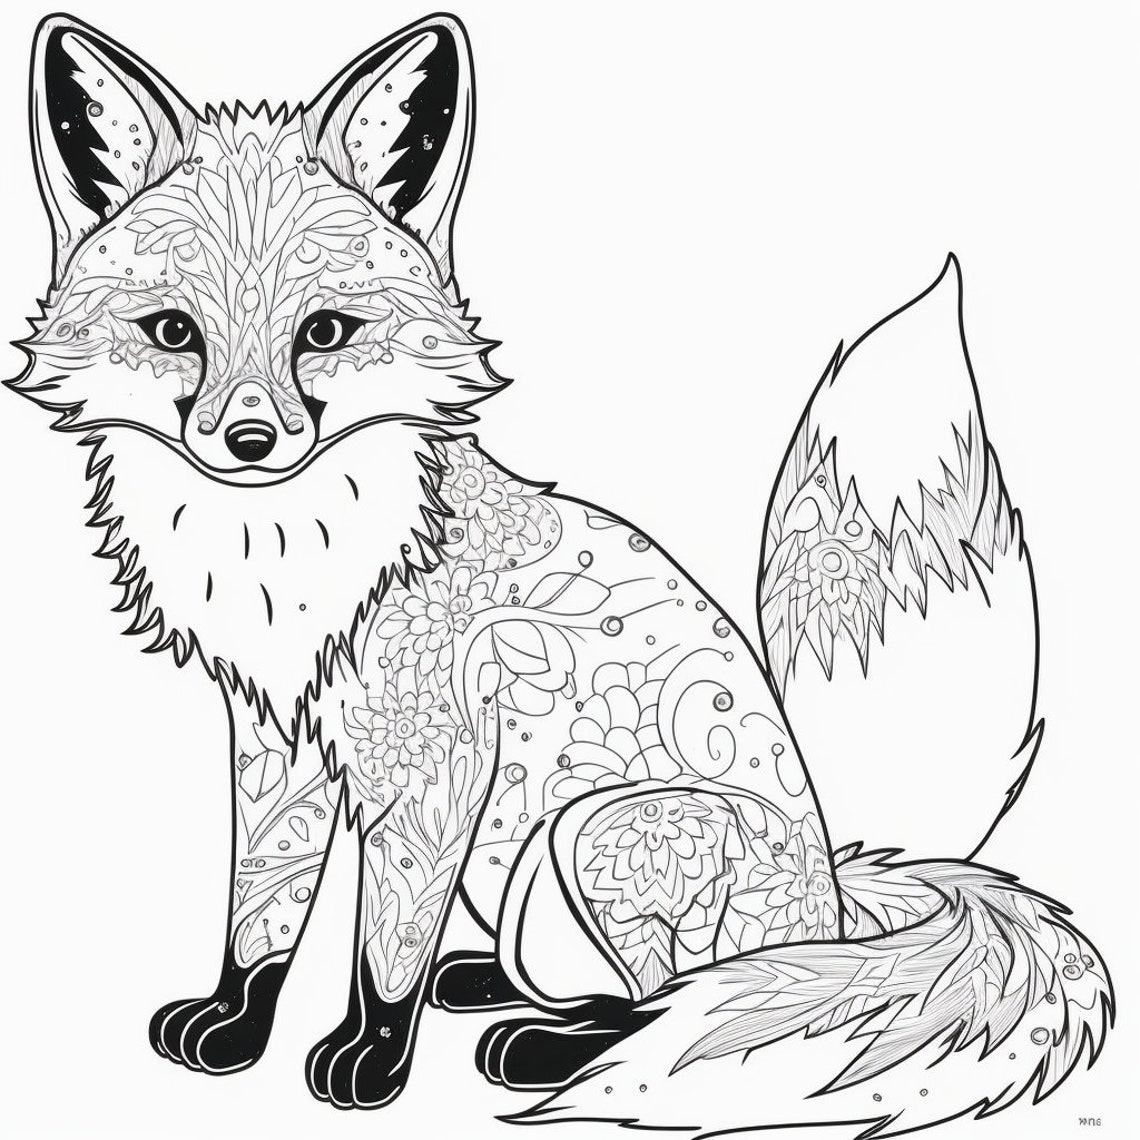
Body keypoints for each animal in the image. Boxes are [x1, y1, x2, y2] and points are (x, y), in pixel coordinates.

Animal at [7, 11, 1111, 1136]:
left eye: (323, 333)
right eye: (172, 333)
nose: (249, 442)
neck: (284, 564)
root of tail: (839, 910)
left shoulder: (431, 769)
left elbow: (384, 949)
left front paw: (371, 1059)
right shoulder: (277, 739)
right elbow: (259, 911)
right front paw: (236, 1025)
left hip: (591, 833)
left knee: (677, 1005)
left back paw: (538, 1048)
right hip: (517, 874)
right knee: (603, 987)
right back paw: (489, 987)